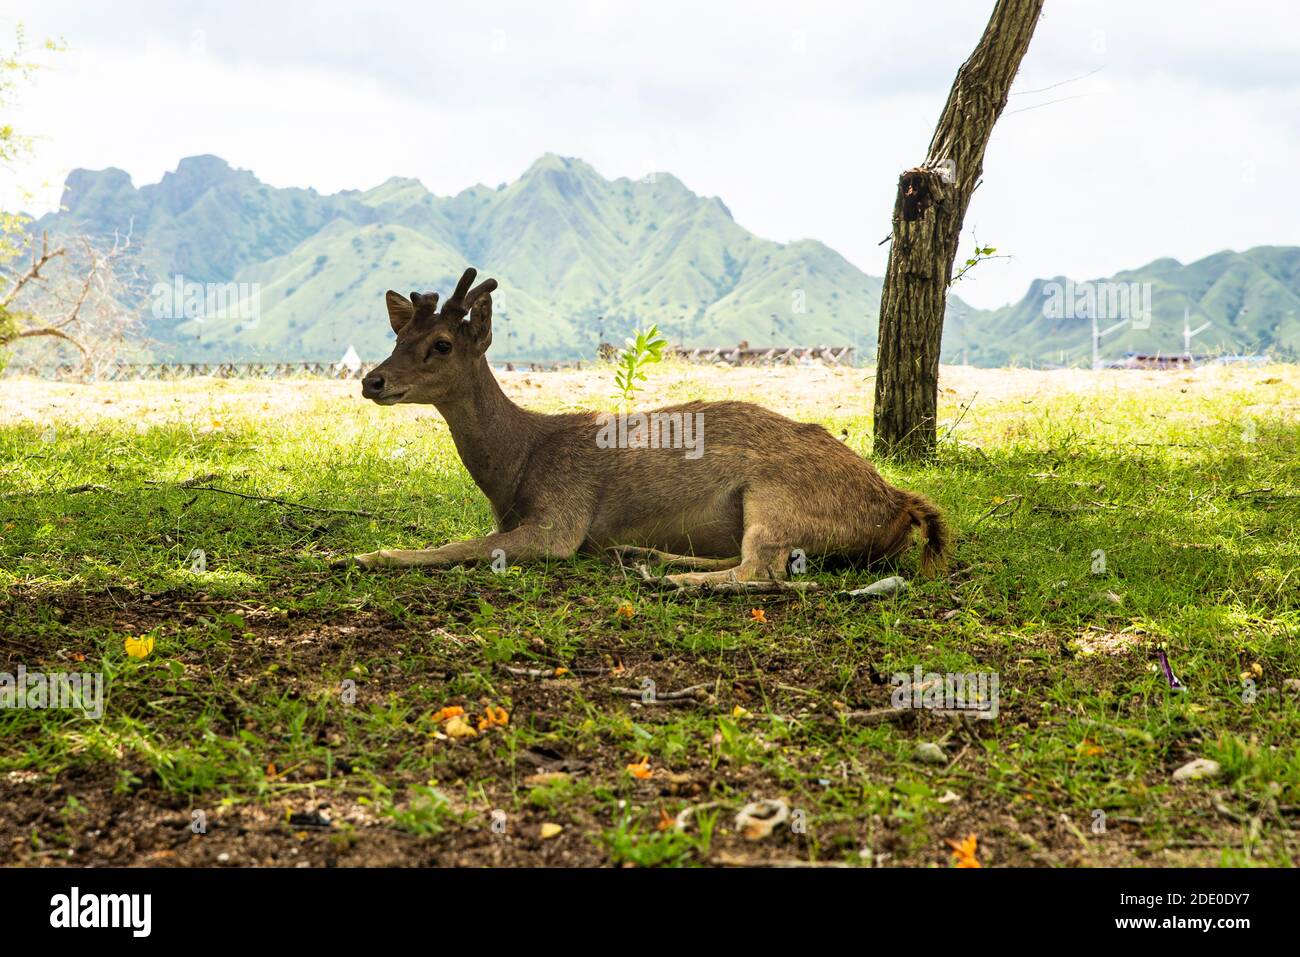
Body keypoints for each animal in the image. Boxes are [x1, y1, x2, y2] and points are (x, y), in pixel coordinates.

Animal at [334, 268, 949, 591]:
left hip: (779, 497)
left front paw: (363, 556)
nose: (373, 380)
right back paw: (644, 556)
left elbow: (462, 545)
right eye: (397, 336)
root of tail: (900, 505)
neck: (516, 470)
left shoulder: (561, 517)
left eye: (441, 344)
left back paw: (665, 578)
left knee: (764, 569)